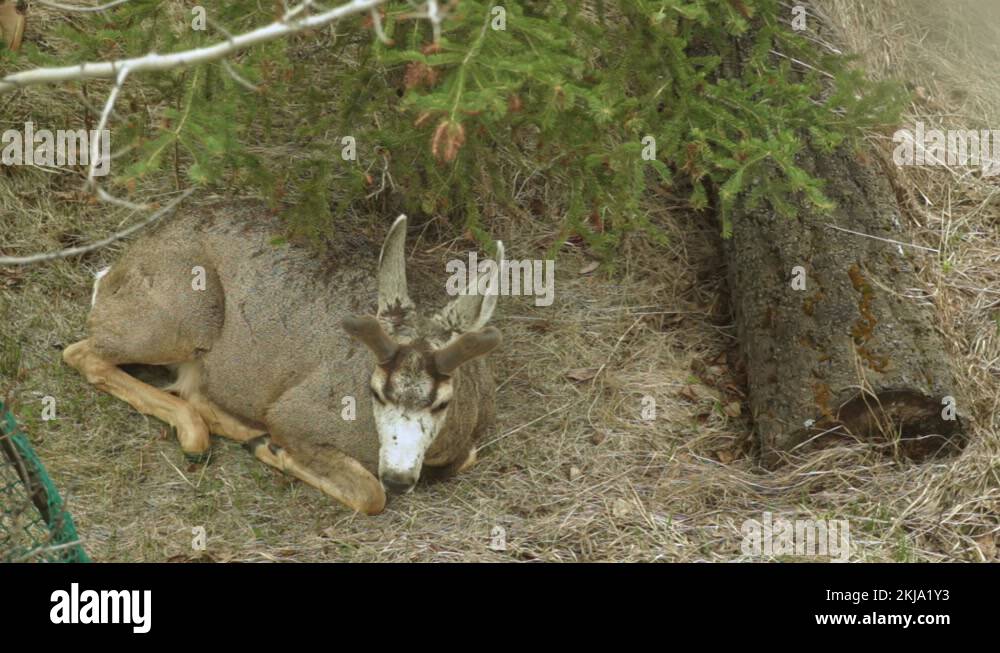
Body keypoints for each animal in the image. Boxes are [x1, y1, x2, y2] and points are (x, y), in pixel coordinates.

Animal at [63, 202, 504, 515]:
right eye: (376, 392)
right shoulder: (296, 414)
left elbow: (469, 457)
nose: (398, 476)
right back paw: (216, 435)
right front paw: (276, 449)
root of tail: (118, 267)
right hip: (182, 318)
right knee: (83, 352)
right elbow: (370, 494)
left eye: (442, 401)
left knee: (191, 388)